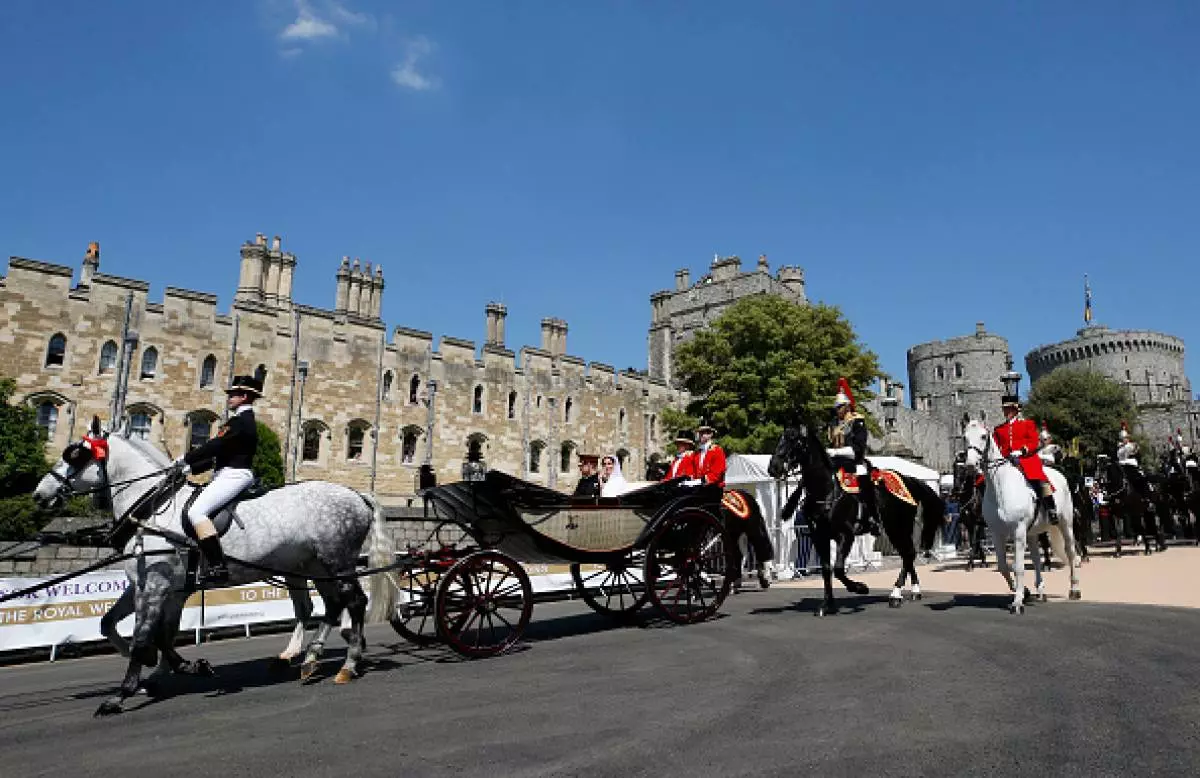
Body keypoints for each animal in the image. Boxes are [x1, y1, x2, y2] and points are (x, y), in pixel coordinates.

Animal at [768, 415, 945, 614]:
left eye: (794, 439)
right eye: (781, 437)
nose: (773, 467)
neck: (826, 490)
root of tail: (909, 480)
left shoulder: (846, 535)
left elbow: (838, 569)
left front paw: (860, 588)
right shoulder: (819, 536)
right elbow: (826, 568)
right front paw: (827, 605)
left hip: (898, 527)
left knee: (908, 554)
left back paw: (896, 594)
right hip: (895, 530)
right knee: (908, 554)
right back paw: (914, 590)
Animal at [960, 420, 1084, 614]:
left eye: (983, 436)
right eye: (964, 437)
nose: (971, 465)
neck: (1000, 487)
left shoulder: (1018, 532)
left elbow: (1018, 567)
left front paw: (1017, 601)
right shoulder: (996, 533)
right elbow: (1003, 566)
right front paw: (1023, 591)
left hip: (1066, 524)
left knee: (1070, 553)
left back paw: (1074, 589)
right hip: (1032, 533)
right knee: (1036, 559)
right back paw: (1040, 590)